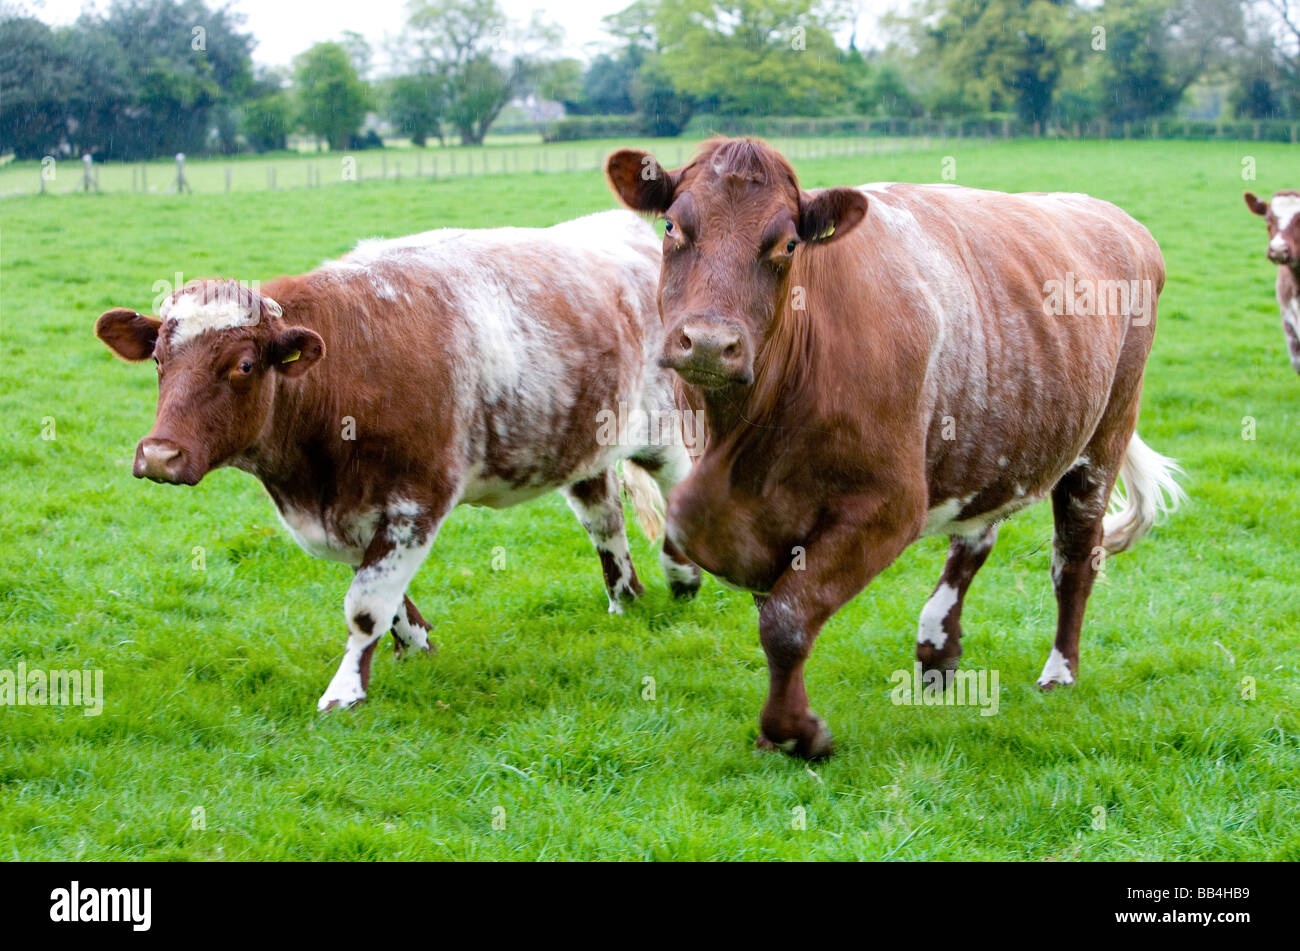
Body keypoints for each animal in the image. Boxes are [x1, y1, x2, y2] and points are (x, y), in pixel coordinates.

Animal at [94, 210, 701, 712]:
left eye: (244, 365)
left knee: (677, 490)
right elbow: (386, 597)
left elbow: (365, 603)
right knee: (604, 519)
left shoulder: (418, 499)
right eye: (158, 359)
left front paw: (345, 691)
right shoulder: (351, 515)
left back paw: (683, 578)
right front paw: (417, 644)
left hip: (663, 426)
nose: (160, 454)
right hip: (580, 445)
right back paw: (624, 597)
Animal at [606, 137, 1184, 759]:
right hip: (995, 434)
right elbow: (765, 595)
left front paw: (798, 732)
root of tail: (1110, 214)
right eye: (671, 225)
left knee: (1074, 558)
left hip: (1104, 435)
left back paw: (1059, 672)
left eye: (788, 244)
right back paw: (937, 649)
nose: (712, 344)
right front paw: (778, 729)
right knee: (976, 534)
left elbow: (786, 618)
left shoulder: (889, 506)